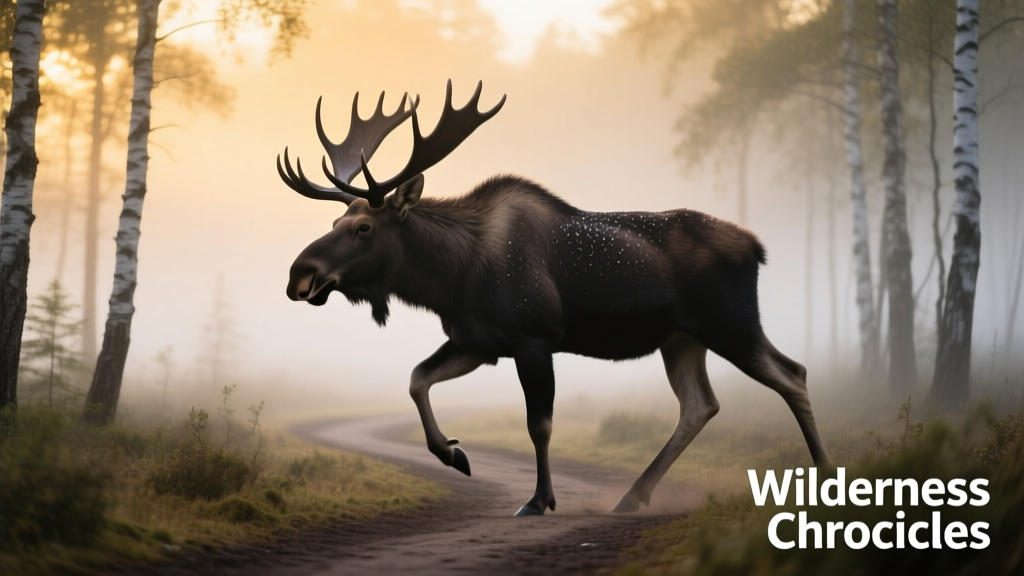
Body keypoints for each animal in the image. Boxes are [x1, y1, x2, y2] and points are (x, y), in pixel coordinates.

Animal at [279, 81, 830, 516]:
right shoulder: (478, 342)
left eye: (365, 227)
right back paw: (632, 496)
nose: (300, 276)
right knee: (701, 404)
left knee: (792, 374)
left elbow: (538, 423)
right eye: (336, 220)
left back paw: (825, 474)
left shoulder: (533, 338)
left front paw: (539, 500)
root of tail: (757, 248)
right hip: (680, 339)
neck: (450, 279)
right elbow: (417, 379)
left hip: (730, 323)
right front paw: (454, 454)